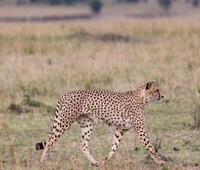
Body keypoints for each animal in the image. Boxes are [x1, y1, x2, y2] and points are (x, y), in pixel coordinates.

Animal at [36, 80, 166, 166]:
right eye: (157, 90)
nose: (163, 96)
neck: (142, 97)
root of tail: (66, 94)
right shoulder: (140, 129)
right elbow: (150, 146)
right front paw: (160, 161)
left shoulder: (121, 129)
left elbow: (114, 146)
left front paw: (105, 160)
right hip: (64, 121)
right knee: (50, 140)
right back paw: (43, 161)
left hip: (87, 124)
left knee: (83, 145)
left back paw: (94, 162)